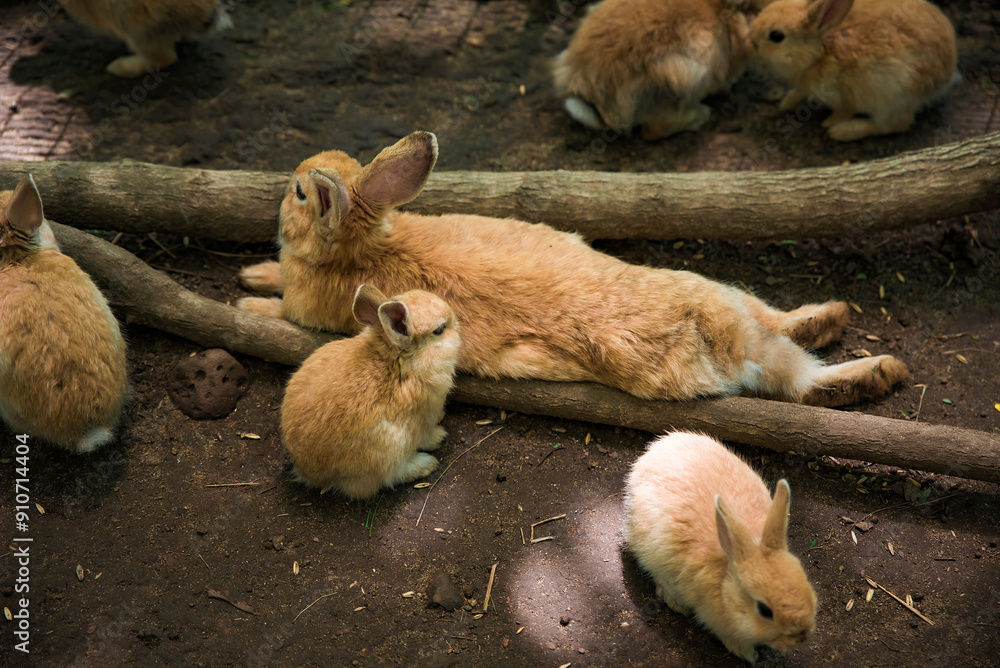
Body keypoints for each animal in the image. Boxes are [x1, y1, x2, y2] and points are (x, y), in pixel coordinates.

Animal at [238, 131, 909, 408]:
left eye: (299, 193)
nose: (286, 189)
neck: (361, 246)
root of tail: (716, 330)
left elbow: (282, 306)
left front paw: (248, 294)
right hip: (730, 297)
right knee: (782, 331)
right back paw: (836, 321)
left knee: (804, 384)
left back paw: (879, 373)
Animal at [281, 284, 461, 499]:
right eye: (439, 330)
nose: (457, 323)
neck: (398, 361)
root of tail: (308, 472)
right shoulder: (422, 418)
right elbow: (425, 436)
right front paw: (439, 436)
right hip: (388, 450)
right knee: (388, 477)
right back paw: (425, 464)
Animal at [750, 0, 958, 141]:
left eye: (776, 36)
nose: (751, 41)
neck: (820, 51)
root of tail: (948, 72)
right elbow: (797, 94)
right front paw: (785, 103)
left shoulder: (846, 94)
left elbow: (845, 110)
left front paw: (830, 124)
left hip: (895, 97)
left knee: (893, 124)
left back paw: (843, 131)